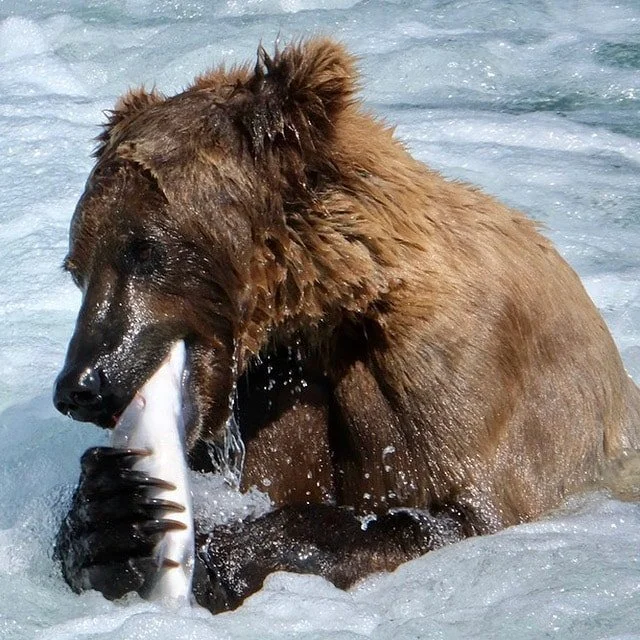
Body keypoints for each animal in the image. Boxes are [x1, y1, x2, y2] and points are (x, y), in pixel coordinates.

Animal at [53, 38, 640, 612]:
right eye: (77, 267)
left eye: (143, 249)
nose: (80, 386)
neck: (336, 305)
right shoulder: (271, 384)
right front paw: (112, 516)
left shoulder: (467, 374)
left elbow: (464, 513)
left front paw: (237, 552)